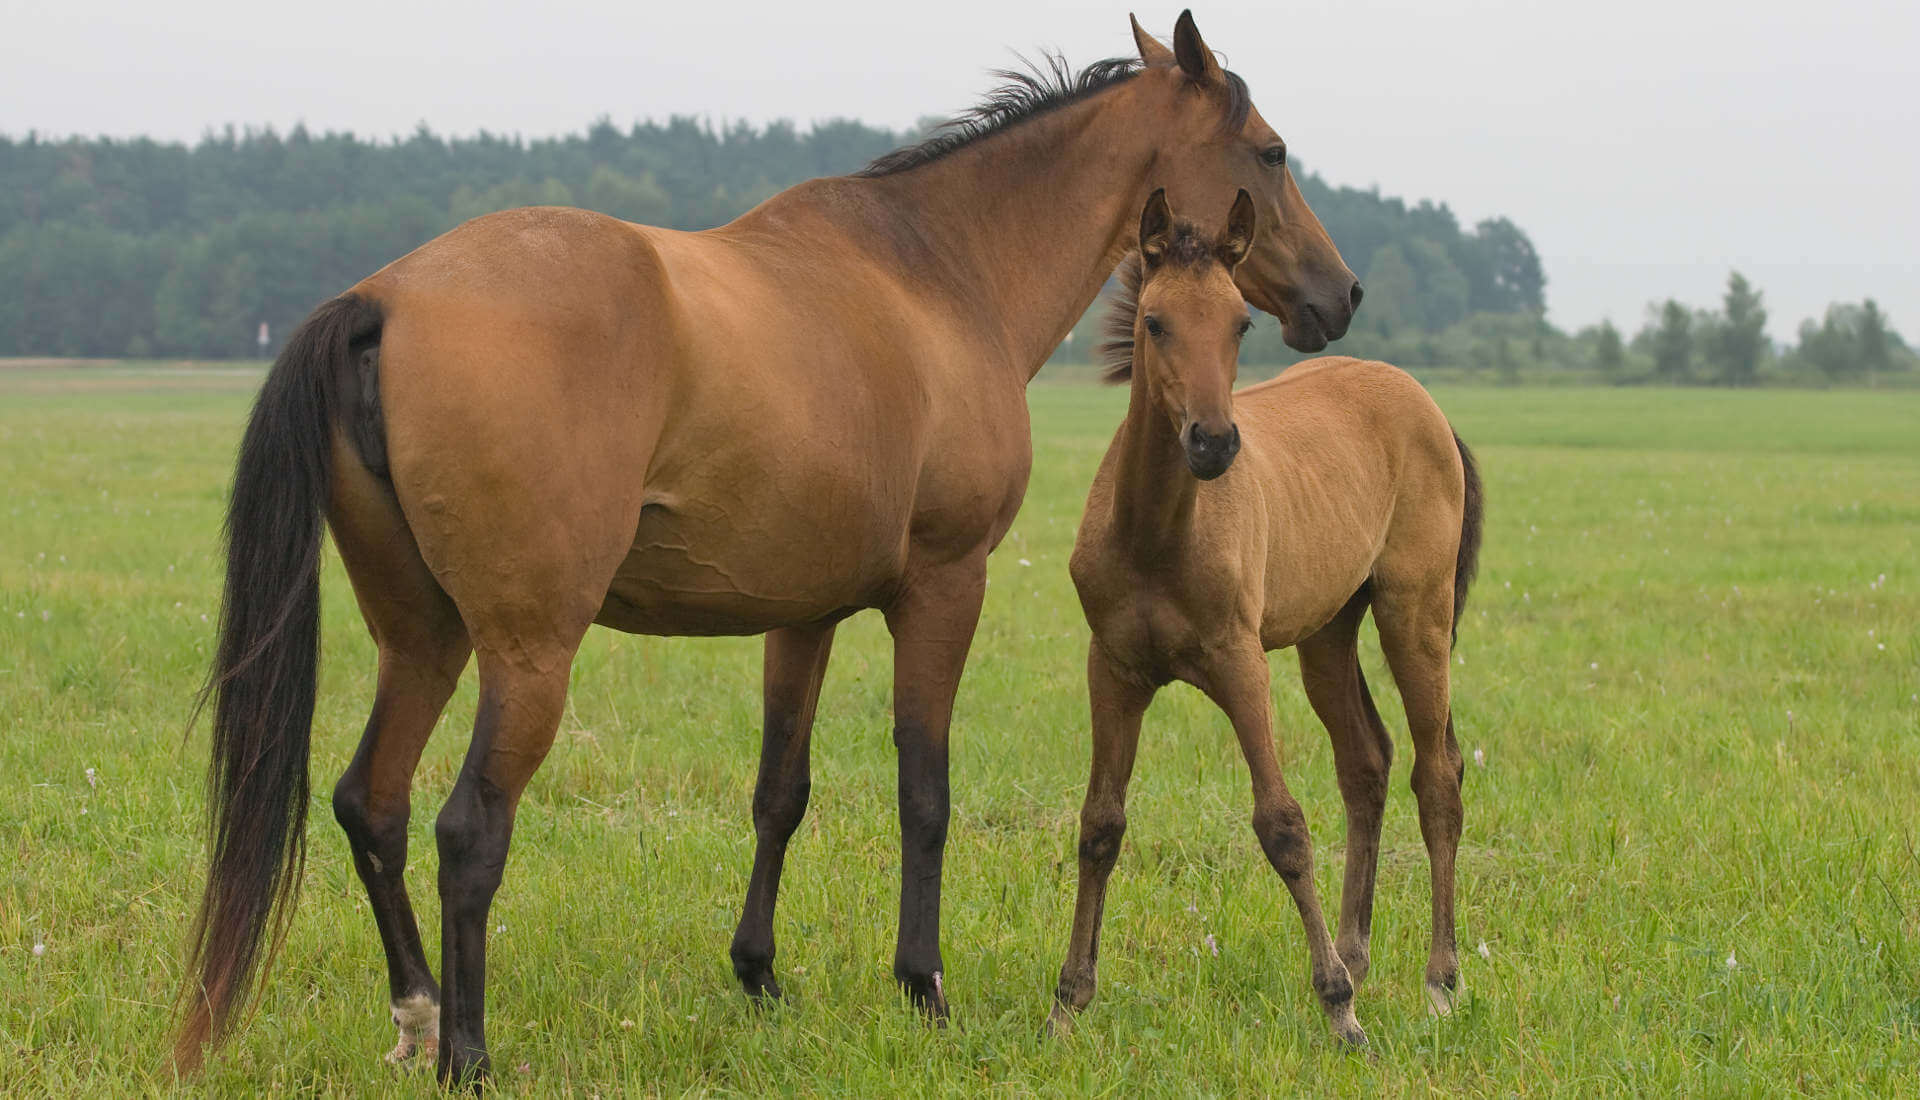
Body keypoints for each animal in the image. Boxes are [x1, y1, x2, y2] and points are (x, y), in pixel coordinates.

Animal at [173, 12, 1364, 1084]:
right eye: (1270, 150)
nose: (1340, 293)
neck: (940, 274)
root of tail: (384, 298)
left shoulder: (805, 612)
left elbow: (779, 793)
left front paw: (758, 974)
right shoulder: (945, 585)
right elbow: (924, 790)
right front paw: (924, 988)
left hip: (423, 638)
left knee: (370, 803)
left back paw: (418, 1016)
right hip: (526, 654)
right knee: (469, 830)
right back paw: (466, 1054)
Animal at [1044, 189, 1482, 1047]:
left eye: (1240, 324)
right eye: (1154, 322)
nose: (1213, 443)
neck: (1157, 534)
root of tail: (1428, 406)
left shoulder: (1239, 662)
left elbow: (1281, 824)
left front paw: (1338, 1010)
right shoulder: (1112, 667)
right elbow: (1100, 824)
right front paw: (1069, 1004)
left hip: (1414, 610)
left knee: (1436, 773)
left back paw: (1437, 982)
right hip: (1328, 633)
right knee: (1366, 764)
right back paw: (1357, 956)